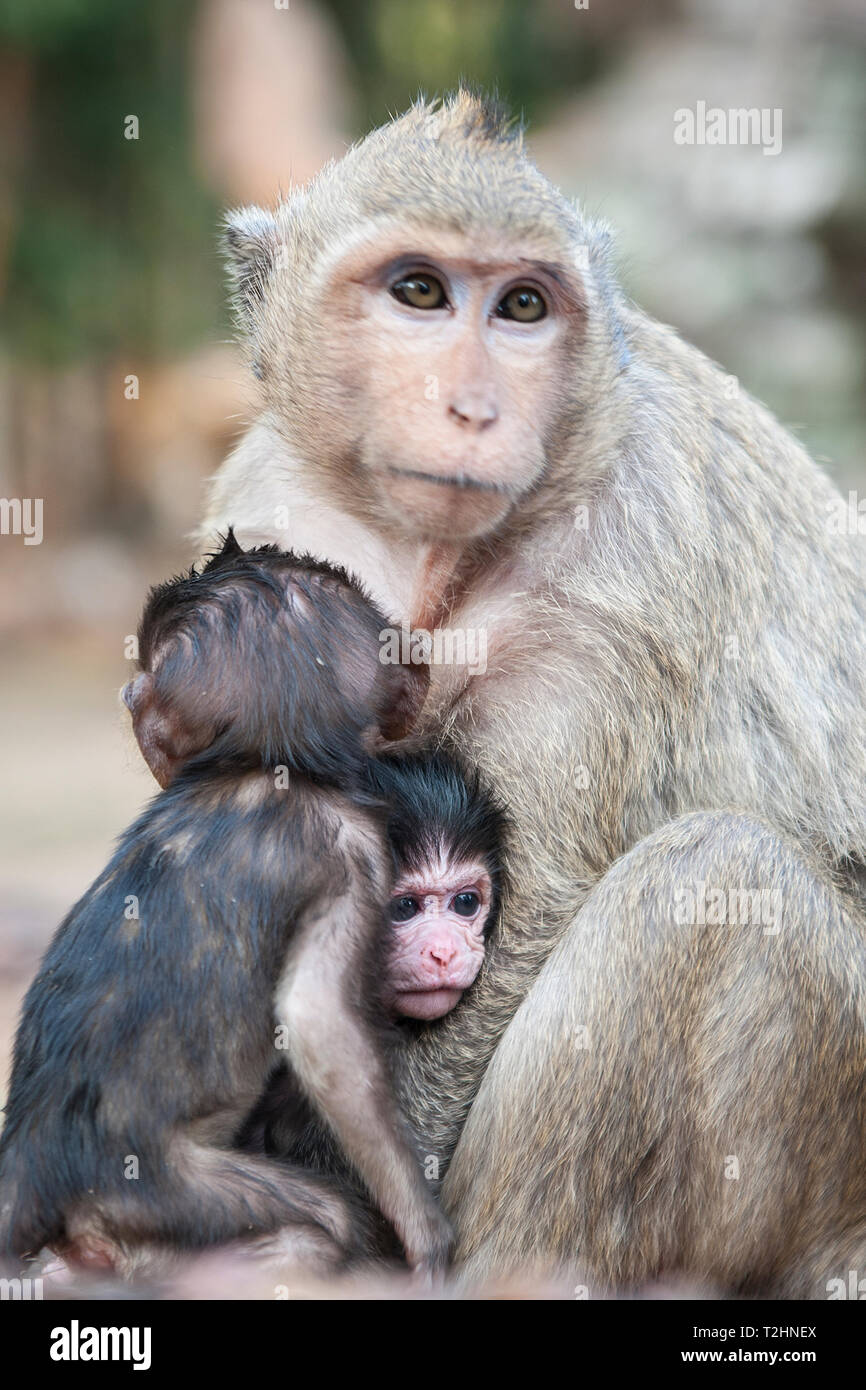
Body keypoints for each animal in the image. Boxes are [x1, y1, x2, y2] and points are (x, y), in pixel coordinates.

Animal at [0, 532, 508, 1278]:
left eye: (466, 903)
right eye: (406, 911)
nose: (443, 951)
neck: (267, 766)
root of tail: (28, 1168)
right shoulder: (354, 854)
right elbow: (318, 1024)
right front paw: (428, 1234)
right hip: (166, 1192)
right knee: (314, 1224)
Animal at [162, 89, 865, 1296]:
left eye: (522, 306)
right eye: (418, 292)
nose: (476, 406)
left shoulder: (617, 576)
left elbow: (533, 897)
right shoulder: (262, 508)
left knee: (715, 874)